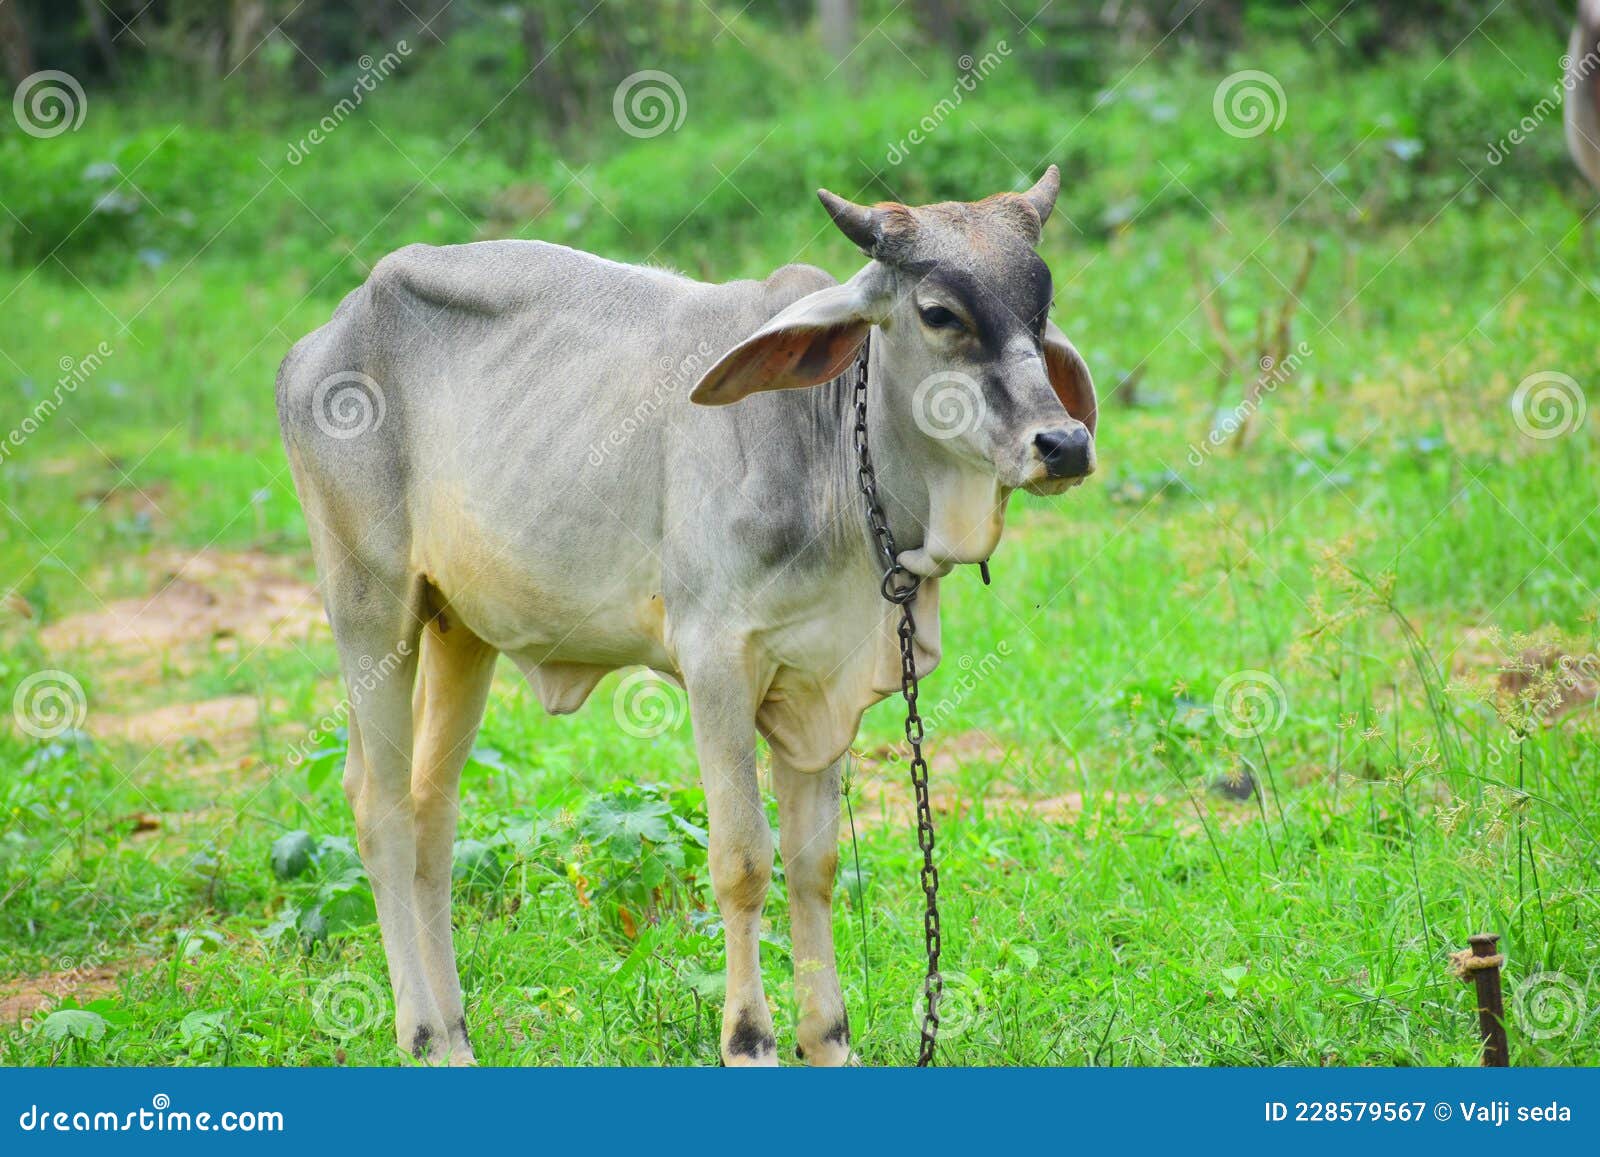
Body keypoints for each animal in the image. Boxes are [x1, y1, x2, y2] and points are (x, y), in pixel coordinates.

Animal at [275, 168, 1097, 1066]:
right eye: (941, 313)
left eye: (1042, 305)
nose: (1064, 443)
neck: (834, 456)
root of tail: (325, 335)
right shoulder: (715, 661)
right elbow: (743, 859)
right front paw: (750, 1037)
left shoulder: (819, 682)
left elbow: (815, 863)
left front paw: (827, 1038)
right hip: (369, 608)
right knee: (380, 809)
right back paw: (421, 1031)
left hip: (461, 628)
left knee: (432, 809)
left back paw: (455, 1039)